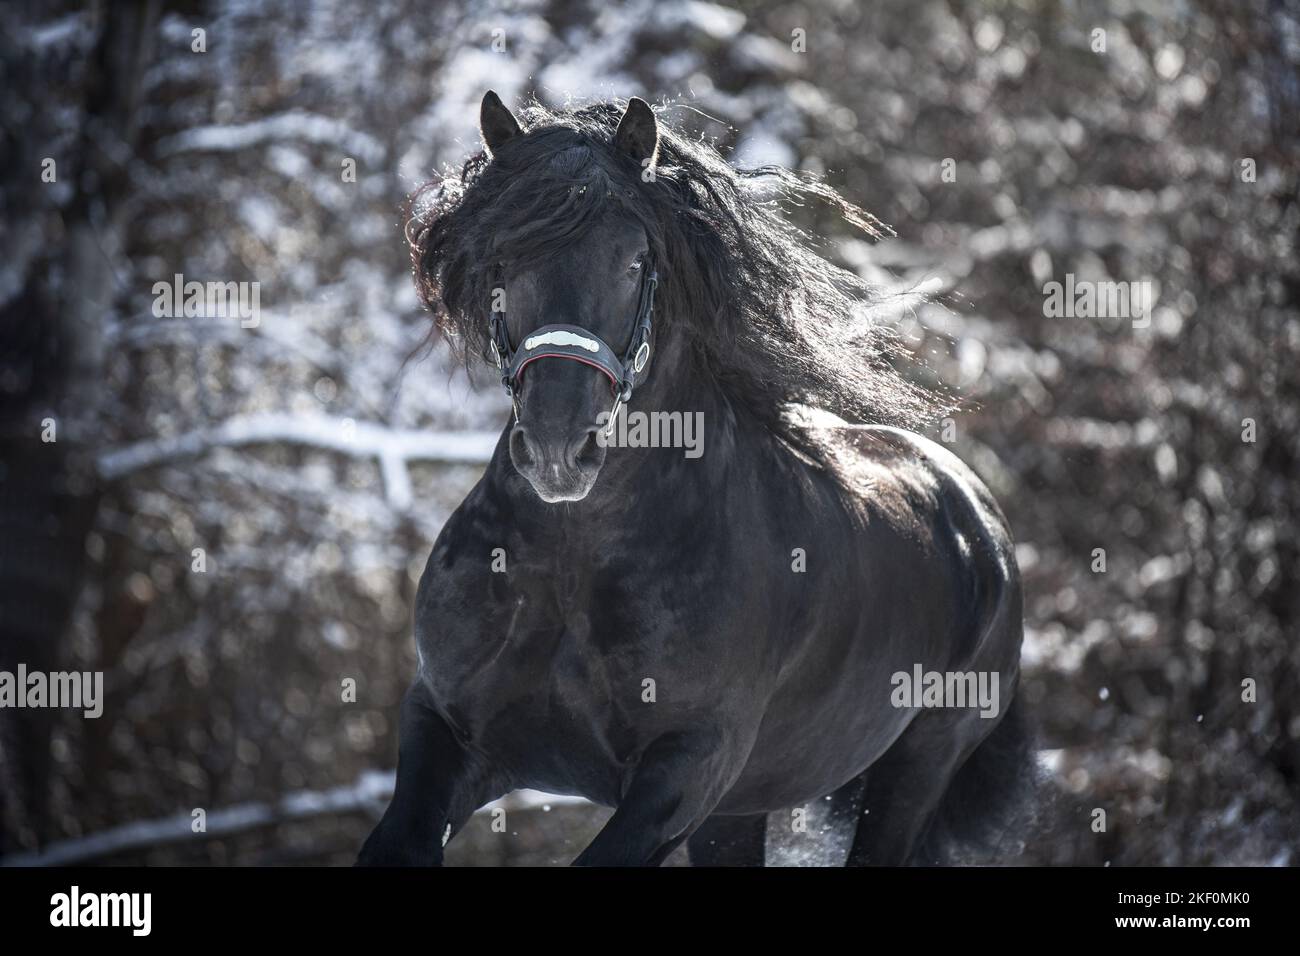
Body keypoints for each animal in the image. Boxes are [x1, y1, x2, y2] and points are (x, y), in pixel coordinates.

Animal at [357, 92, 1029, 866]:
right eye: (501, 258)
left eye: (634, 260)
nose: (559, 449)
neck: (571, 561)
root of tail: (977, 515)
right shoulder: (448, 730)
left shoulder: (686, 767)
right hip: (739, 810)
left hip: (917, 766)